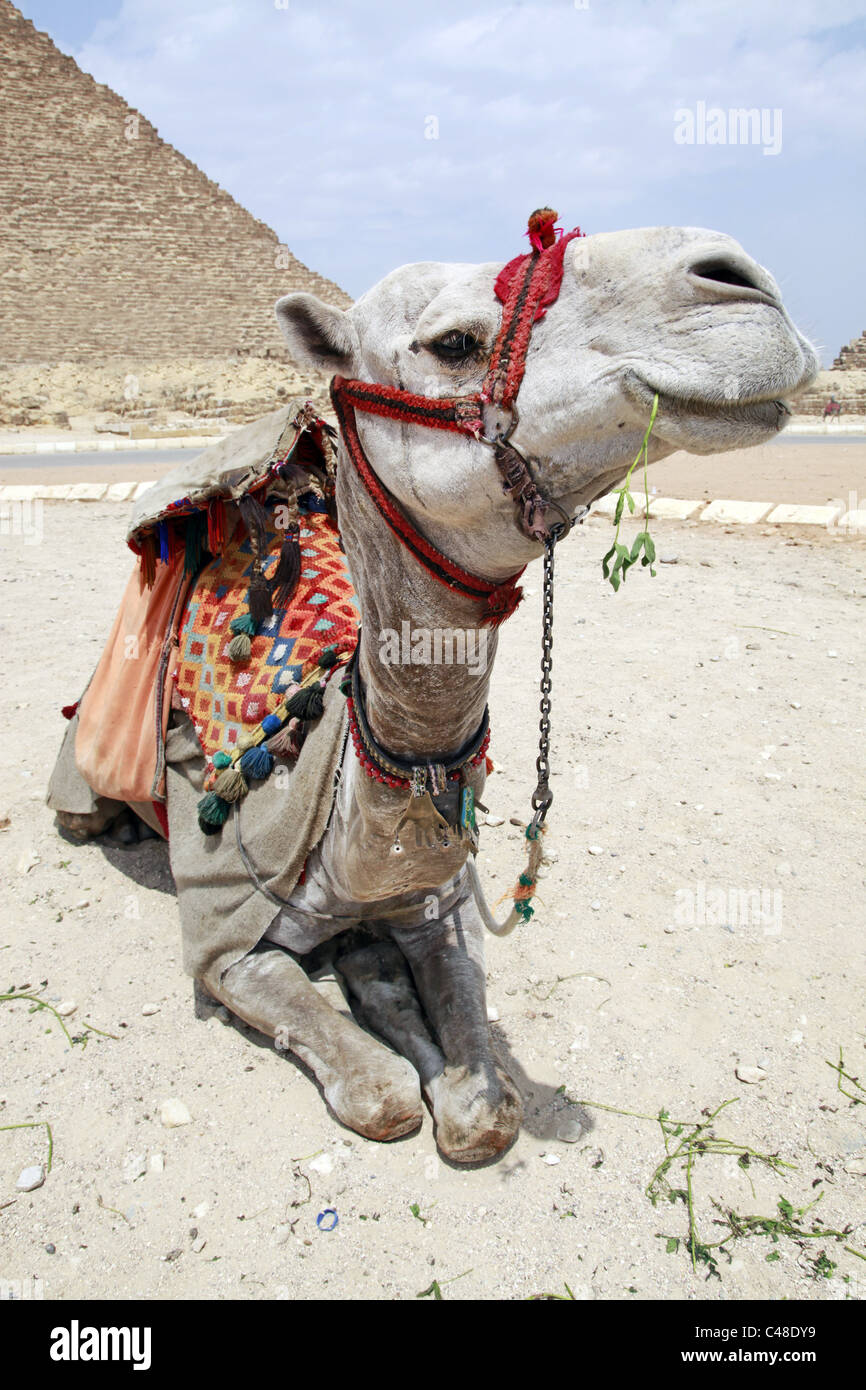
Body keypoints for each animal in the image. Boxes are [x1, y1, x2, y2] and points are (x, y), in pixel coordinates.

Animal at [50, 218, 818, 1163]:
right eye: (452, 342)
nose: (741, 282)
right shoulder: (224, 937)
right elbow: (375, 1087)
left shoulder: (436, 903)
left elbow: (482, 1101)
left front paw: (423, 1034)